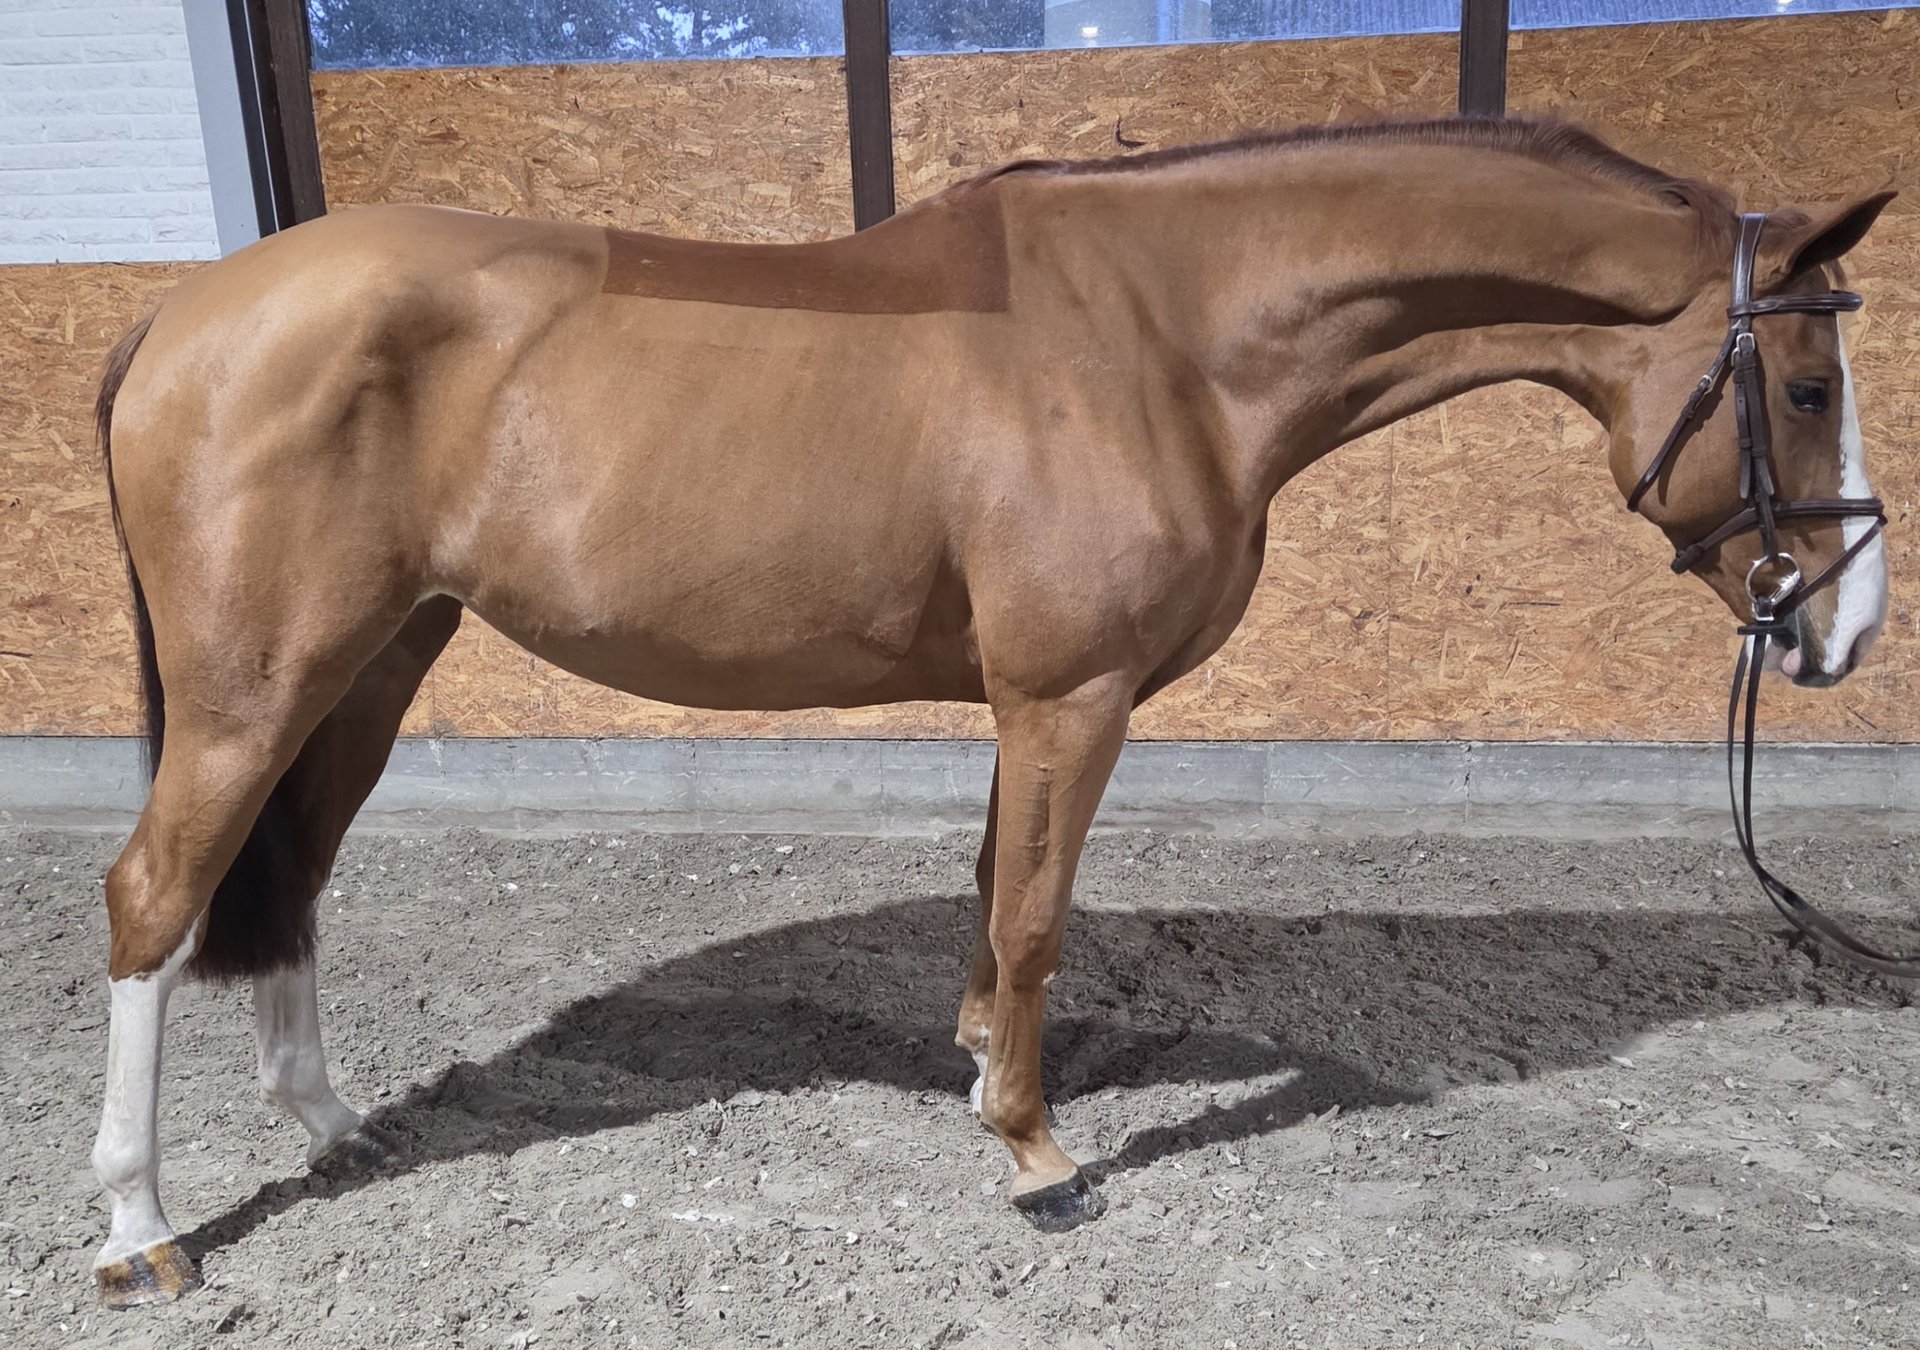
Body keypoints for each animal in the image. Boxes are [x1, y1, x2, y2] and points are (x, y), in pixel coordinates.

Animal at [87, 116, 1892, 1307]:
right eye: (1806, 386)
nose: (1845, 629)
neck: (1160, 338)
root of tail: (180, 312)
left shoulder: (1022, 705)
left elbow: (984, 896)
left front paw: (974, 1079)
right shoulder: (1068, 697)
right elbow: (1032, 915)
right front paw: (1036, 1157)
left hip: (373, 662)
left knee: (290, 878)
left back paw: (335, 1125)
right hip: (261, 685)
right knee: (158, 898)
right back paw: (138, 1230)